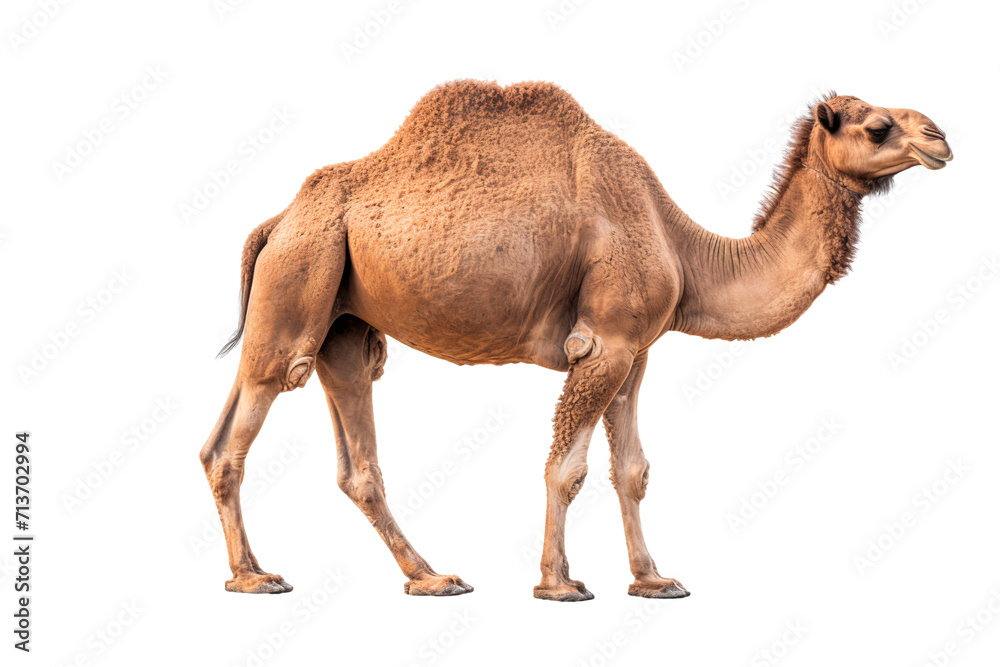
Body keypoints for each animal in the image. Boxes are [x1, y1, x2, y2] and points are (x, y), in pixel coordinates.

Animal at [199, 80, 952, 601]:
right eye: (878, 126)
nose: (940, 137)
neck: (682, 247)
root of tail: (276, 220)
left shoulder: (637, 350)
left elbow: (633, 470)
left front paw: (653, 580)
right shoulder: (605, 342)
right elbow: (568, 468)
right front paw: (558, 583)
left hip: (341, 323)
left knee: (353, 455)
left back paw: (431, 577)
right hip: (297, 284)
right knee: (234, 435)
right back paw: (253, 577)